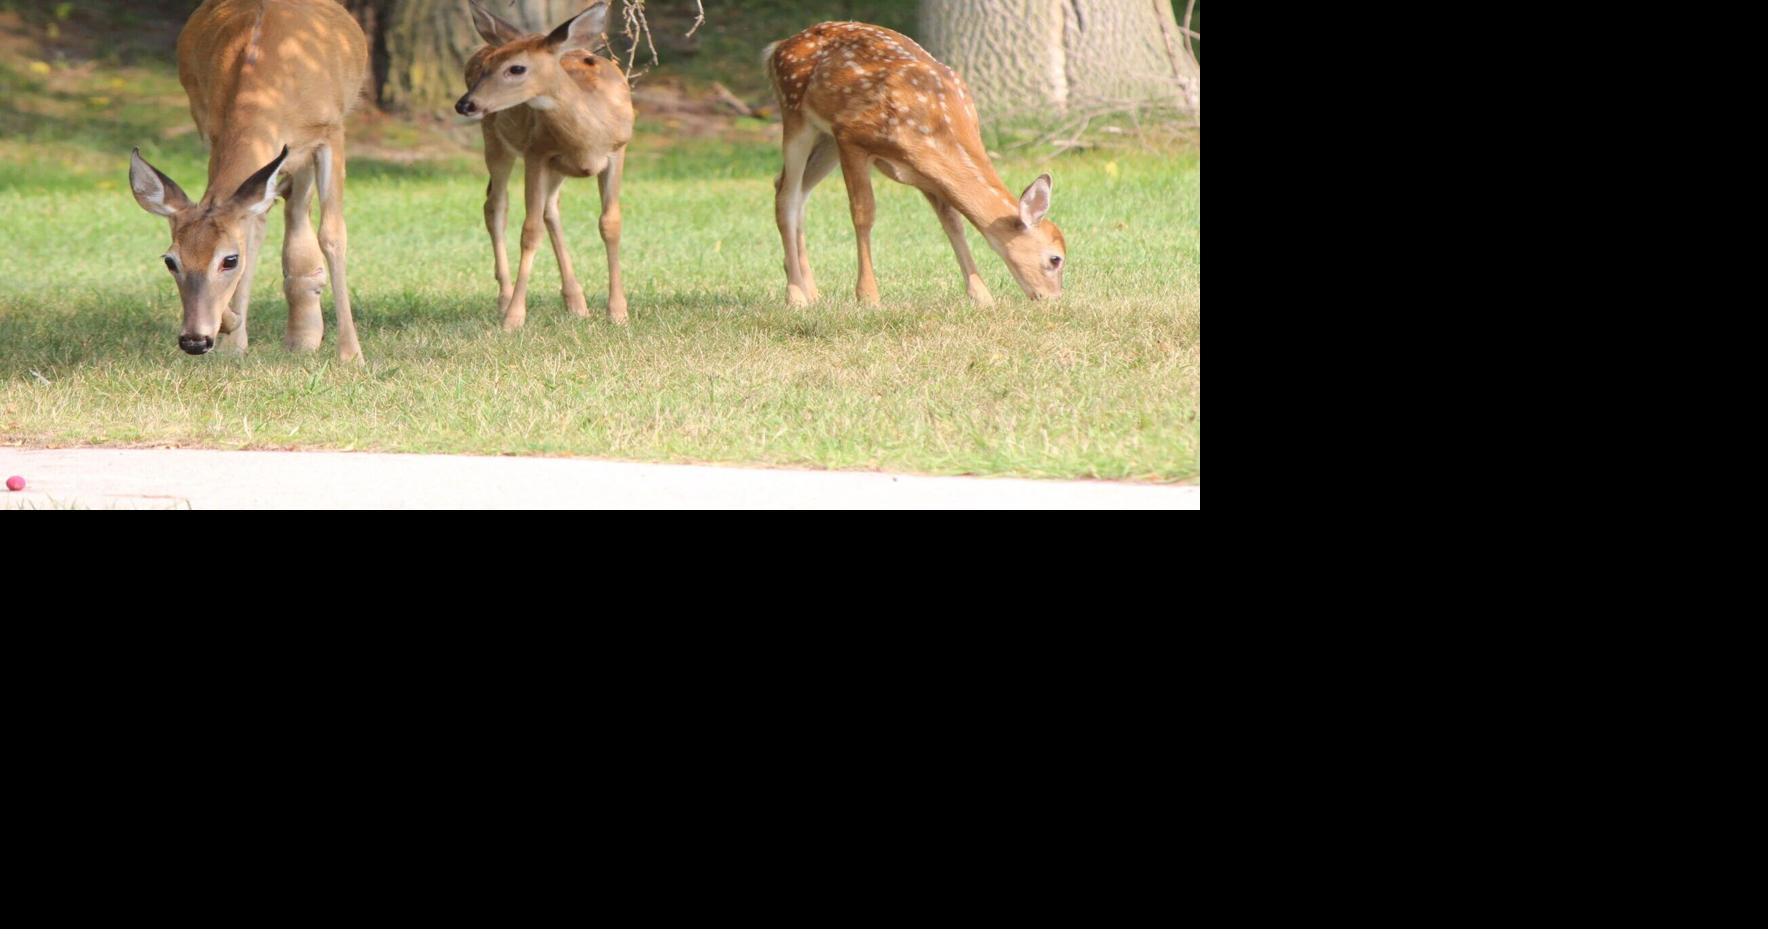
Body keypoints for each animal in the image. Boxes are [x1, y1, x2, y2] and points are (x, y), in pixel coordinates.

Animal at [129, 0, 371, 361]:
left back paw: (304, 334)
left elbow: (332, 235)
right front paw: (232, 337)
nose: (194, 339)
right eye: (170, 261)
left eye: (230, 260)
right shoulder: (212, 130)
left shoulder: (331, 130)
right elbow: (250, 225)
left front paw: (351, 355)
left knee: (299, 210)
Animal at [456, 1, 634, 331]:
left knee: (551, 208)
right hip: (495, 139)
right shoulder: (535, 153)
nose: (465, 104)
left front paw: (617, 311)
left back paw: (576, 302)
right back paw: (505, 298)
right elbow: (530, 230)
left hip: (556, 168)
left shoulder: (618, 150)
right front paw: (514, 318)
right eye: (487, 67)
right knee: (496, 206)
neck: (590, 137)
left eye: (516, 68)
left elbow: (610, 224)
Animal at [765, 22, 1067, 310]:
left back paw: (811, 291)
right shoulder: (851, 137)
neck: (935, 130)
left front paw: (982, 296)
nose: (1053, 300)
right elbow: (864, 213)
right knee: (787, 196)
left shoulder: (925, 175)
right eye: (1056, 259)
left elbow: (953, 223)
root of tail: (778, 47)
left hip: (826, 140)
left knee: (794, 191)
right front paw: (868, 297)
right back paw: (796, 296)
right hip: (796, 117)